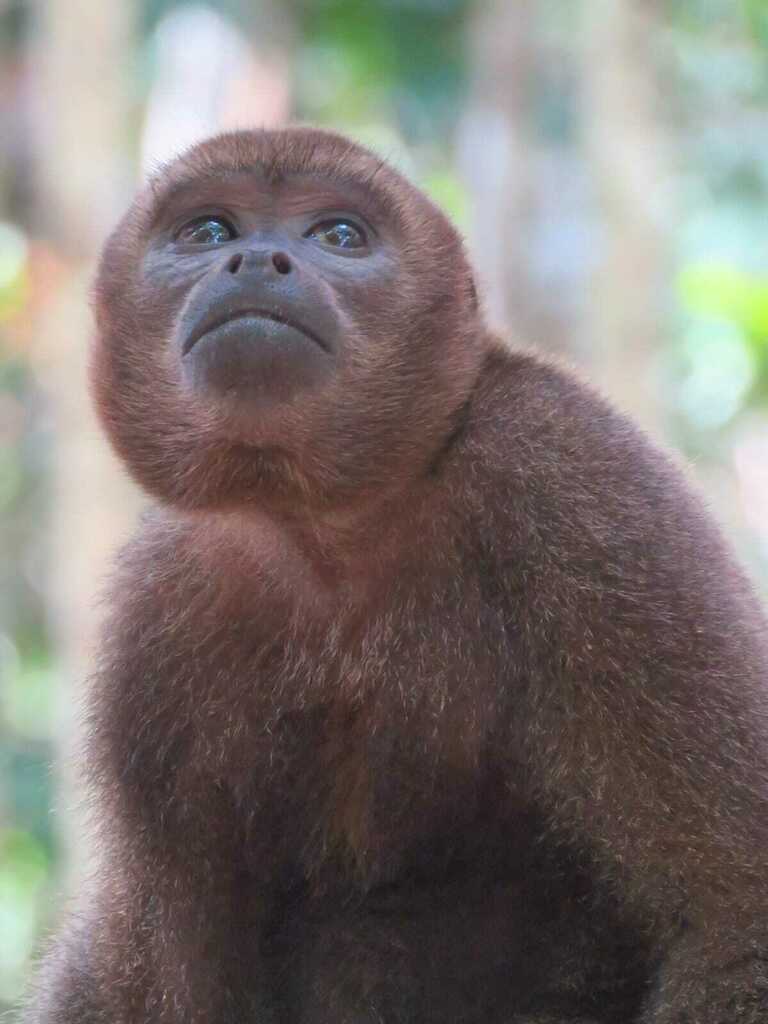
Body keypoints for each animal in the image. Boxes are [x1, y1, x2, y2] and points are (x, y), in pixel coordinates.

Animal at [23, 126, 768, 1024]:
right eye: (207, 231)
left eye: (340, 236)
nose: (257, 260)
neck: (328, 530)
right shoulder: (155, 618)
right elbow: (166, 980)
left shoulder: (585, 489)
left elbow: (734, 916)